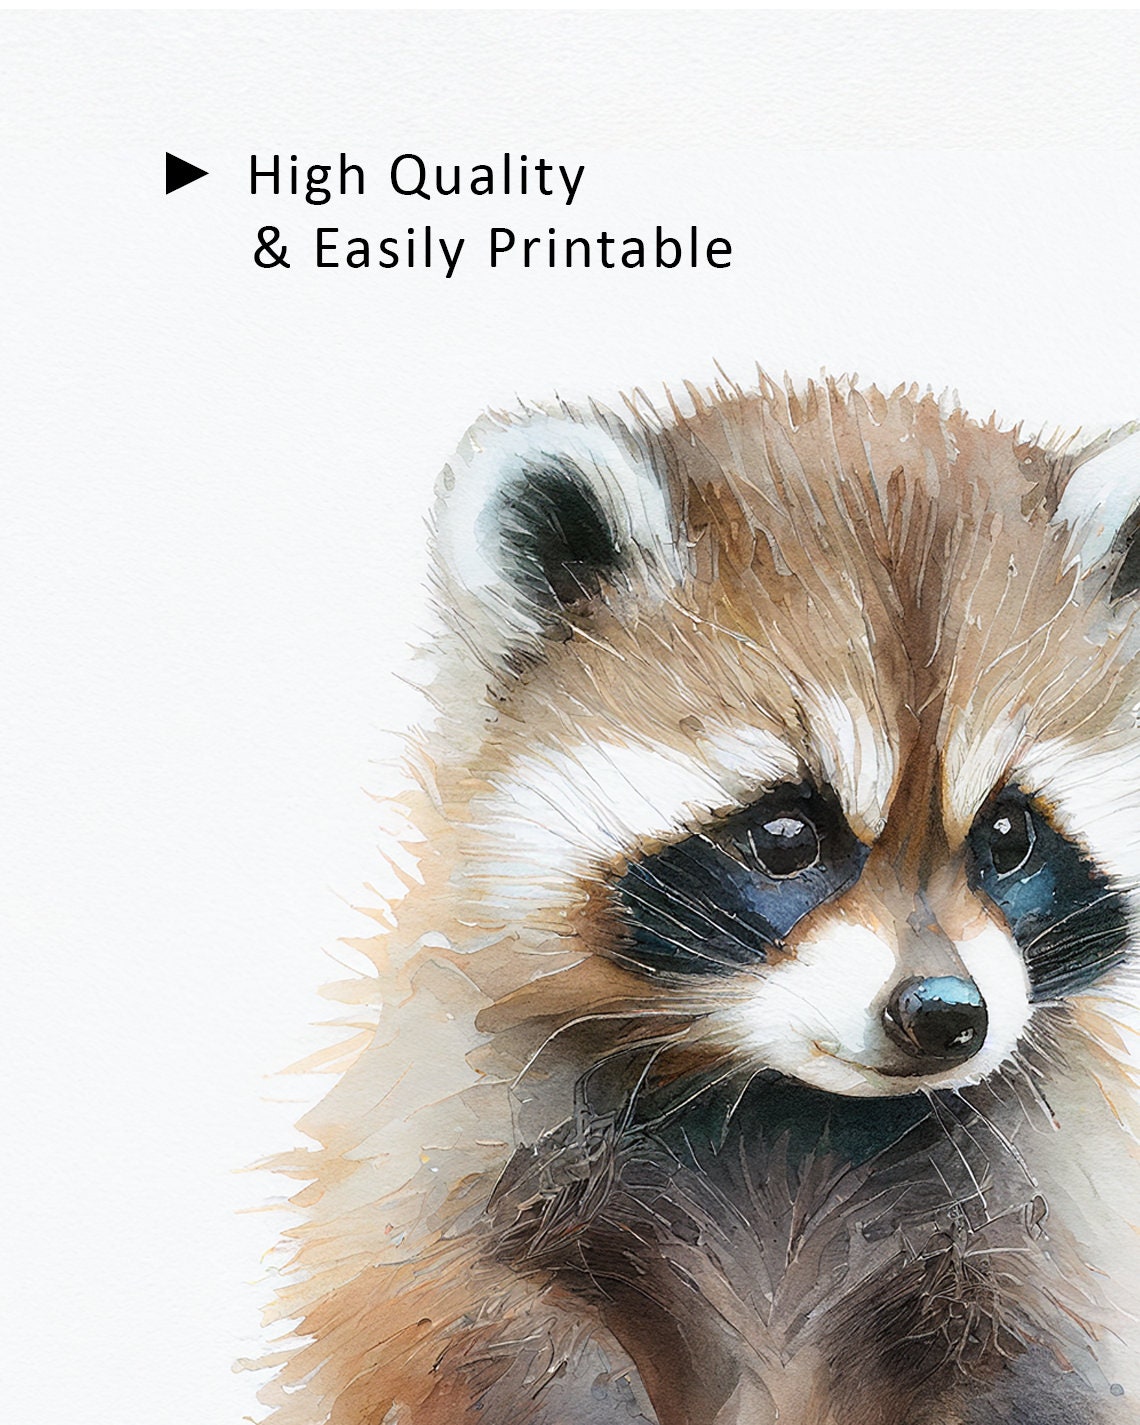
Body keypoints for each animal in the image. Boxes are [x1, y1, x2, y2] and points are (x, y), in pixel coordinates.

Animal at [259, 374, 1140, 1425]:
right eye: (788, 834)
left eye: (1008, 835)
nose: (942, 1014)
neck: (794, 1110)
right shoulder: (444, 1142)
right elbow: (465, 1331)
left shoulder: (1043, 1215)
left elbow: (1046, 1365)